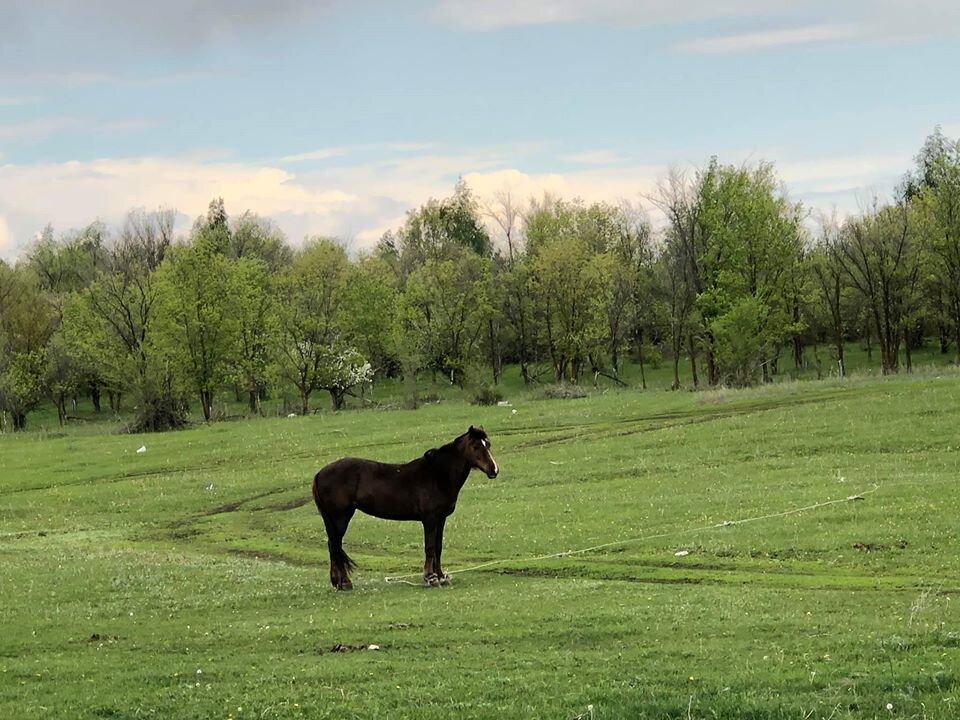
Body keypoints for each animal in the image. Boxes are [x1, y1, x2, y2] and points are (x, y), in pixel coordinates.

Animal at [314, 428, 502, 592]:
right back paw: (345, 583)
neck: (437, 475)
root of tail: (319, 474)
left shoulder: (441, 519)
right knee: (335, 545)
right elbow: (430, 547)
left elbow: (438, 547)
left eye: (488, 444)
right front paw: (431, 578)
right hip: (340, 517)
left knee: (333, 546)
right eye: (476, 446)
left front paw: (441, 577)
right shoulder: (430, 519)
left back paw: (338, 582)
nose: (494, 470)